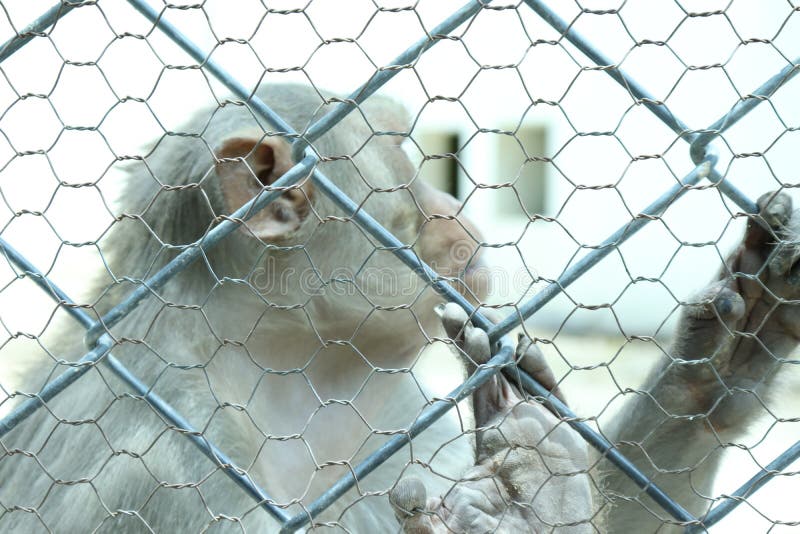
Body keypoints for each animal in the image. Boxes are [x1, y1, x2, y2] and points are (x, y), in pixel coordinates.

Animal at [0, 83, 798, 533]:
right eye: (401, 155)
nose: (451, 199)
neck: (291, 366)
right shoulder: (153, 464)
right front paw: (542, 509)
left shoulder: (395, 405)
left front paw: (714, 374)